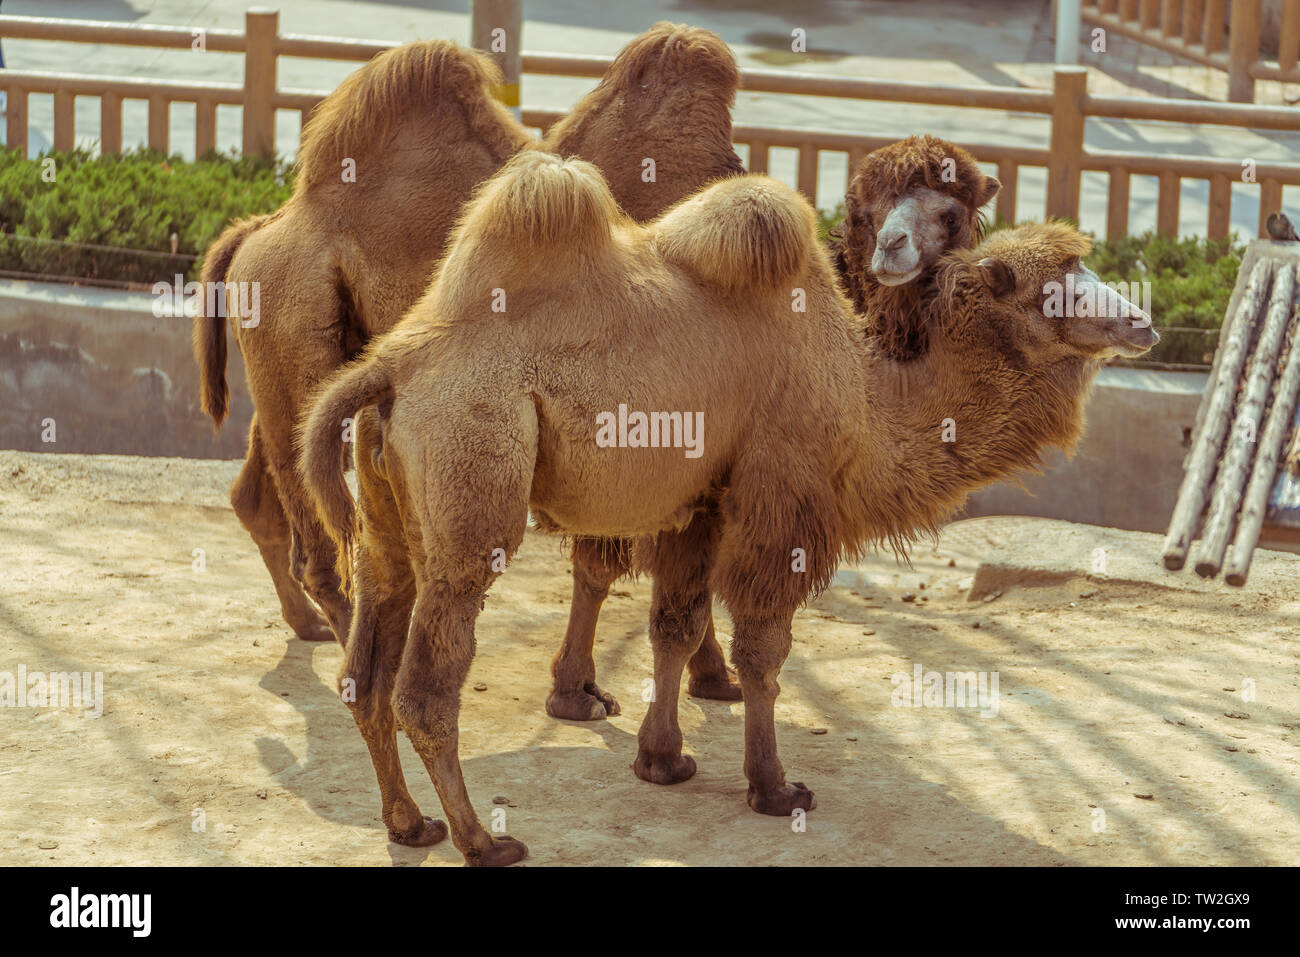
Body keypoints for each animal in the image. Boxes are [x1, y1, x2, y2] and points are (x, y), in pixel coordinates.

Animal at [192, 25, 748, 712]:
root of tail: (255, 231)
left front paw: (705, 680)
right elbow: (611, 560)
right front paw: (583, 693)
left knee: (263, 486)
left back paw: (311, 627)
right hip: (293, 335)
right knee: (317, 523)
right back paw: (351, 657)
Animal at [296, 152, 1157, 864]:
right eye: (1053, 288)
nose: (1143, 321)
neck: (866, 397)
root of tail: (395, 364)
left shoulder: (699, 502)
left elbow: (674, 625)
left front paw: (664, 760)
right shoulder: (783, 494)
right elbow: (763, 651)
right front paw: (775, 788)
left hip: (385, 508)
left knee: (366, 662)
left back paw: (409, 822)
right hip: (475, 455)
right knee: (428, 675)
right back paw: (482, 839)